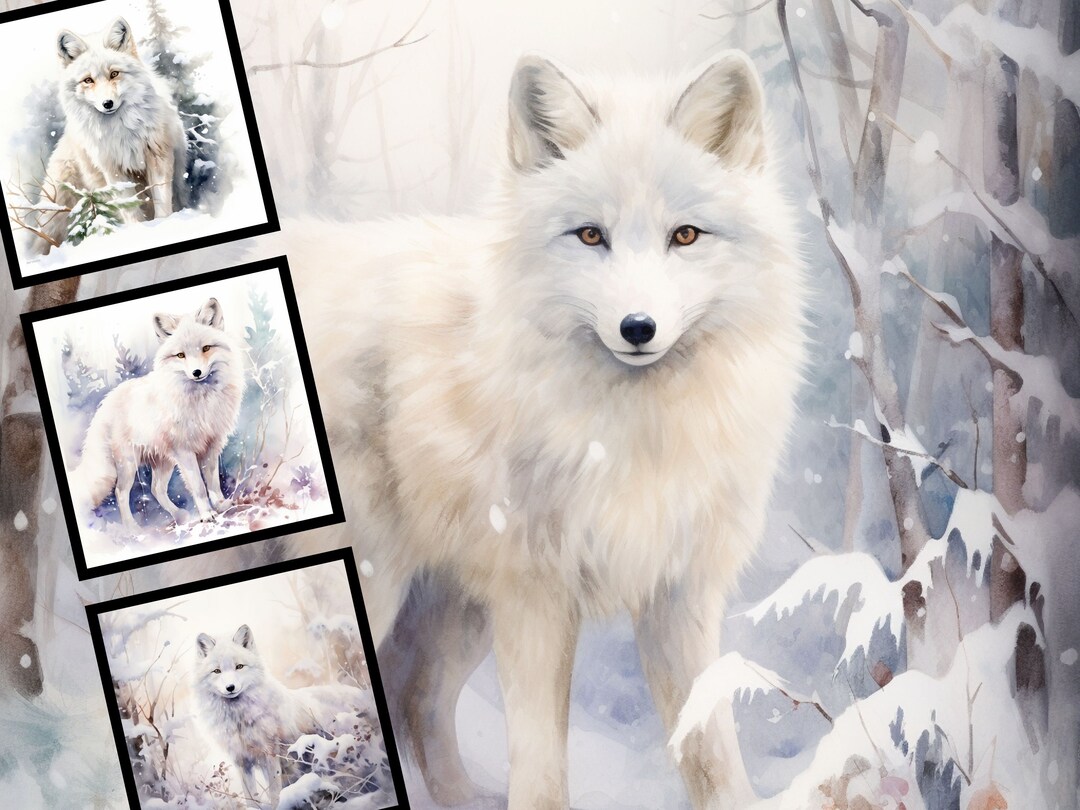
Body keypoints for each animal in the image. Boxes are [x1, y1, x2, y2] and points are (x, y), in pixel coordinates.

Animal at [33, 17, 187, 253]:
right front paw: (139, 234)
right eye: (88, 80)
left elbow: (162, 199)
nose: (108, 104)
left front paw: (163, 226)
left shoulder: (158, 156)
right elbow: (129, 208)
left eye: (114, 74)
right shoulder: (112, 169)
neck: (121, 131)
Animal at [72, 298, 243, 533]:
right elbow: (199, 486)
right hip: (129, 465)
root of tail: (105, 403)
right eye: (181, 355)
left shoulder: (211, 446)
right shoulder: (185, 451)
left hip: (163, 463)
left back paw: (180, 516)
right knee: (121, 493)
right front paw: (207, 515)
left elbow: (213, 482)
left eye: (206, 348)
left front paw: (219, 505)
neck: (201, 401)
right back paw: (132, 529)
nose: (197, 373)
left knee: (156, 490)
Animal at [192, 624, 377, 809]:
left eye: (239, 666)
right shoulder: (242, 762)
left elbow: (275, 792)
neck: (239, 720)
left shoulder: (271, 754)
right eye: (217, 671)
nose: (230, 687)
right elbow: (250, 796)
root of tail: (362, 694)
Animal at [286, 52, 806, 808]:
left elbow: (712, 758)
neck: (631, 438)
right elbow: (541, 771)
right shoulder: (537, 598)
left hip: (459, 608)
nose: (638, 328)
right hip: (381, 587)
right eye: (591, 235)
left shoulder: (678, 595)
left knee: (414, 693)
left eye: (685, 236)